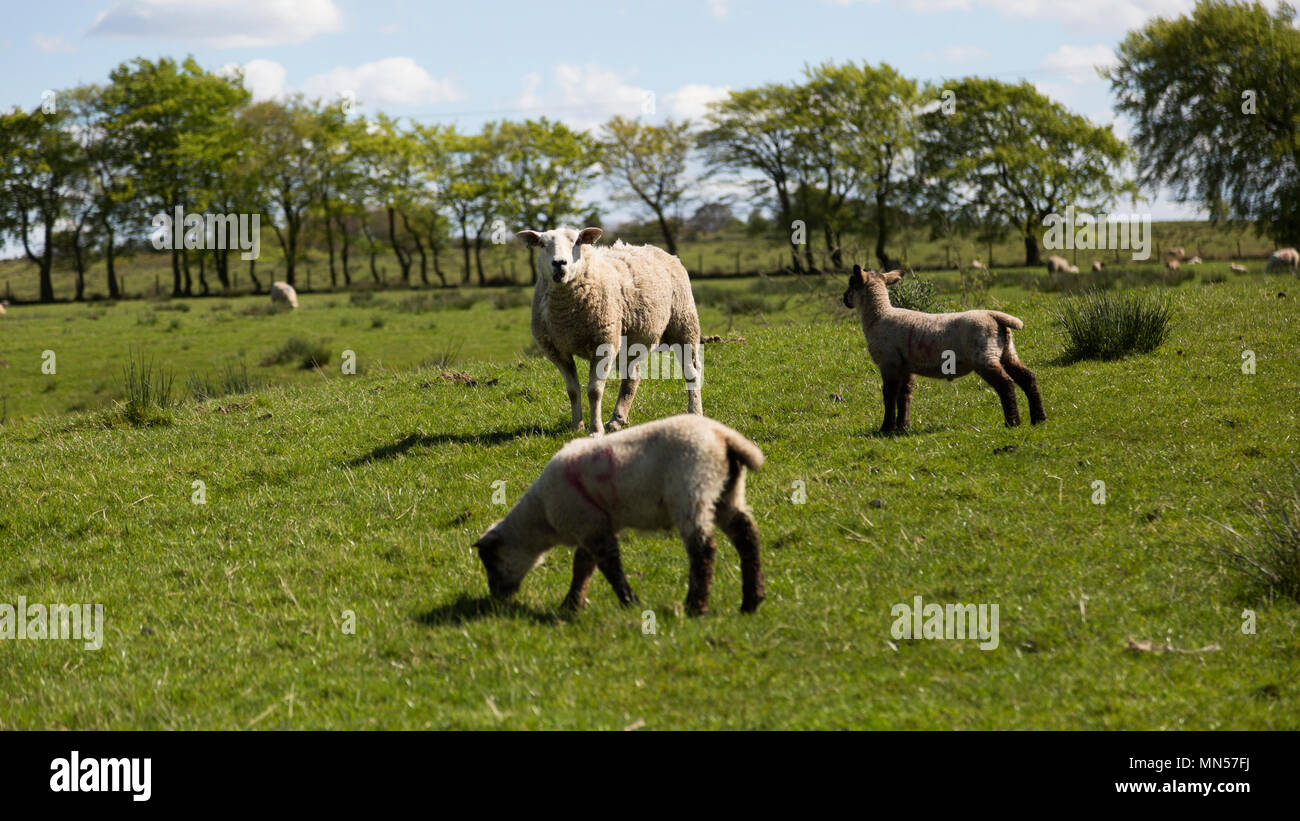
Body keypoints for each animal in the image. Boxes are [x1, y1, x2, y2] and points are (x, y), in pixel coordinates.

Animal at [473, 414, 765, 615]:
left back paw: (695, 607)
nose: (495, 597)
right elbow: (583, 566)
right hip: (726, 494)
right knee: (747, 535)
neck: (541, 515)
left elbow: (609, 566)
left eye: (491, 561)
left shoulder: (589, 526)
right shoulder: (592, 526)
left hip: (692, 491)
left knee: (703, 550)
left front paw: (629, 601)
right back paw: (752, 601)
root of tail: (722, 436)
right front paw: (572, 603)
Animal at [518, 227, 702, 435]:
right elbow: (572, 391)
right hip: (629, 340)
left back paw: (695, 412)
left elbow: (594, 391)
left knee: (692, 372)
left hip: (684, 324)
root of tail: (664, 252)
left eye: (577, 242)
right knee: (632, 377)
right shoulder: (557, 352)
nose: (559, 263)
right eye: (542, 244)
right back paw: (617, 420)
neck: (566, 315)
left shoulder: (603, 344)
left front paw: (595, 430)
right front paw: (576, 426)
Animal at [843, 265, 1045, 432]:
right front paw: (902, 427)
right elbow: (905, 395)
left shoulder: (889, 362)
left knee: (1006, 384)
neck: (879, 316)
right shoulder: (905, 365)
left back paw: (1013, 422)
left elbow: (889, 395)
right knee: (1028, 377)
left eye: (852, 283)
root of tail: (994, 315)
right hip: (1007, 352)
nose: (844, 298)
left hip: (984, 356)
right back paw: (1039, 418)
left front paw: (886, 428)